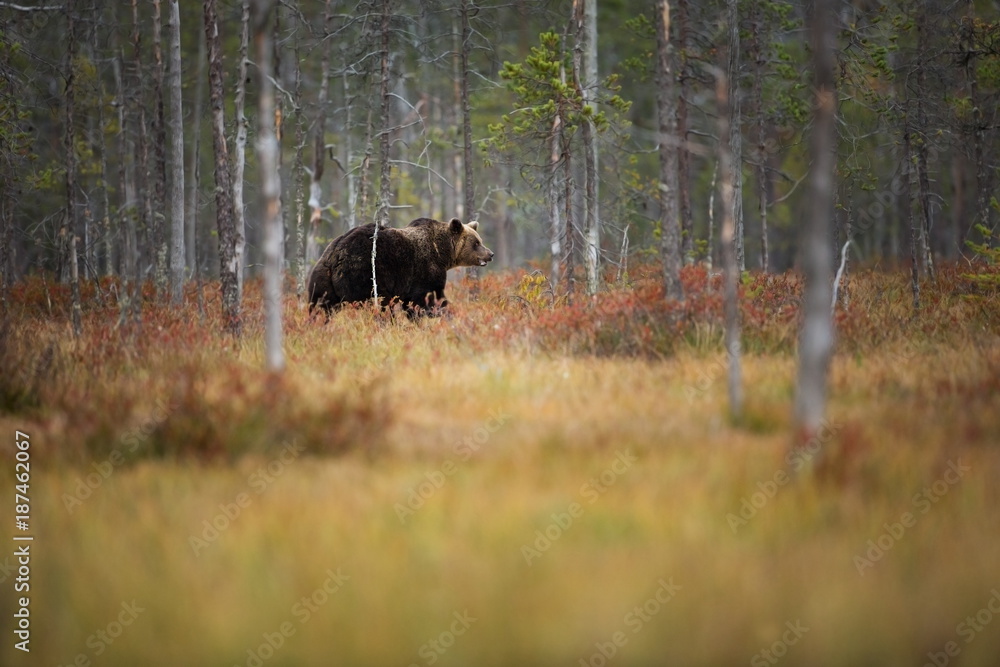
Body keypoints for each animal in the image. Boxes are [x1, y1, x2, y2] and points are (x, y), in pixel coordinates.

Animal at [307, 217, 494, 317]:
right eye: (476, 243)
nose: (491, 254)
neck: (442, 252)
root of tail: (336, 253)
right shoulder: (425, 271)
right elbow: (428, 298)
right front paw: (438, 313)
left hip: (322, 278)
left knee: (319, 306)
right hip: (365, 275)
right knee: (377, 304)